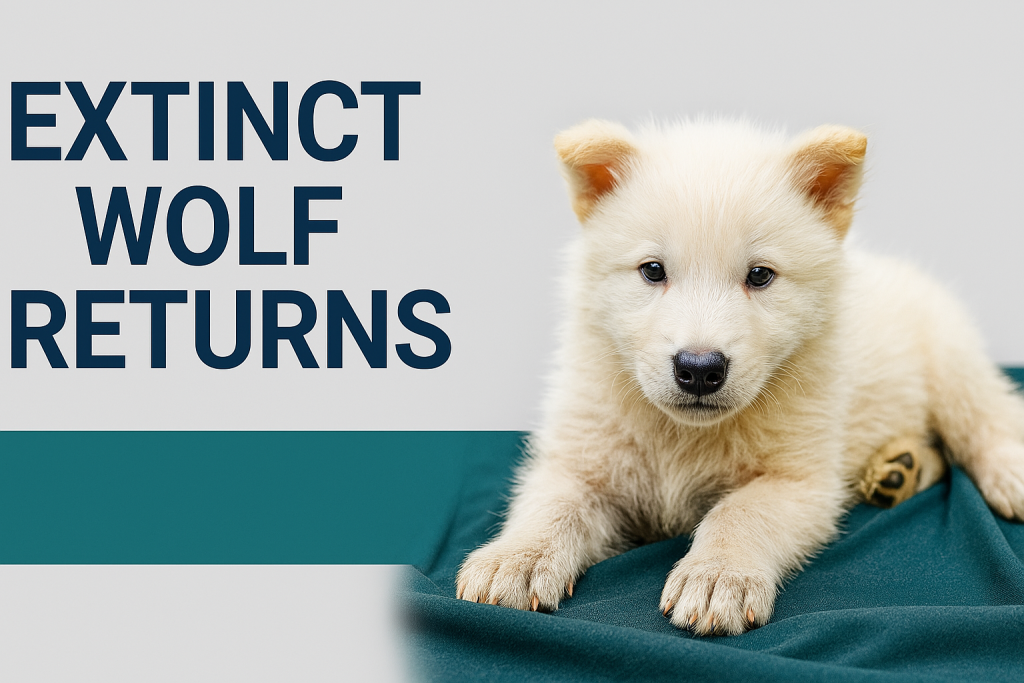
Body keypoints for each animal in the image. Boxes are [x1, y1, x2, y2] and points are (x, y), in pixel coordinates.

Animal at [457, 119, 1024, 635]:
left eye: (759, 275)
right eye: (652, 270)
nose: (699, 369)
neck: (683, 438)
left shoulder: (801, 478)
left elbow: (740, 511)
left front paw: (716, 577)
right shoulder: (585, 456)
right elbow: (552, 502)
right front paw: (514, 559)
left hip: (947, 352)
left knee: (984, 414)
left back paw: (1003, 471)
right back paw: (899, 467)